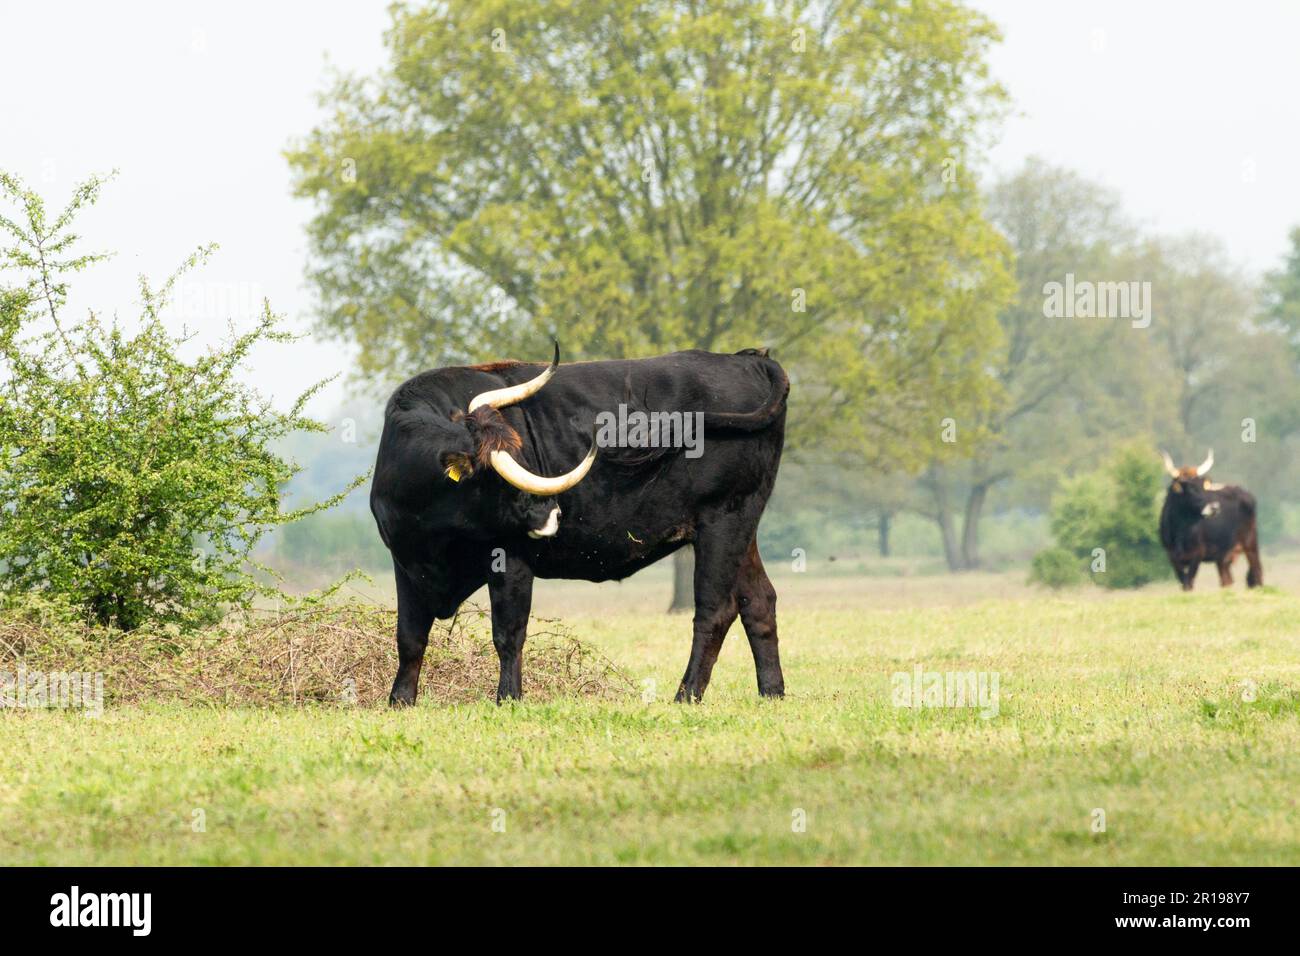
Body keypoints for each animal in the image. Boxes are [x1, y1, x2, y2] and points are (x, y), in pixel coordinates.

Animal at [370, 344, 789, 706]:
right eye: (497, 479)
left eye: (525, 452)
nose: (555, 514)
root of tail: (746, 360)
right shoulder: (404, 564)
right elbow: (410, 636)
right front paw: (400, 701)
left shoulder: (511, 558)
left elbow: (508, 633)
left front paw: (508, 699)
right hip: (740, 528)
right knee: (759, 601)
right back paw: (772, 692)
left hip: (723, 522)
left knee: (714, 610)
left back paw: (686, 695)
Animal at [1158, 450, 1262, 591]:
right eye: (1190, 488)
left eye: (1203, 487)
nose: (1214, 507)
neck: (1180, 531)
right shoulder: (1172, 557)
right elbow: (1184, 582)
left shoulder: (1197, 554)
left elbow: (1188, 582)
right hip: (1223, 556)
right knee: (1227, 581)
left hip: (1250, 544)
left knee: (1257, 571)